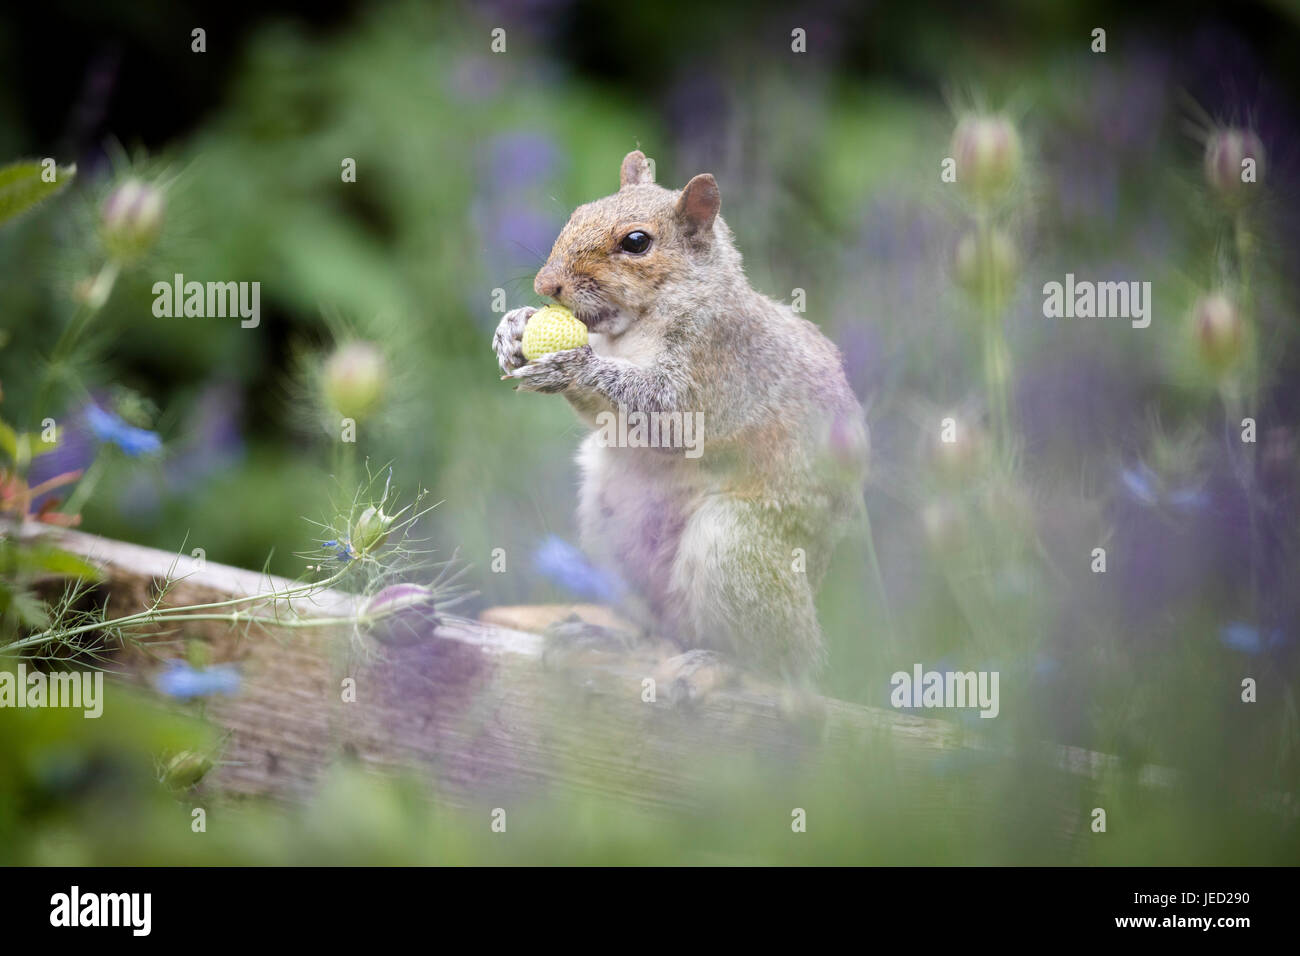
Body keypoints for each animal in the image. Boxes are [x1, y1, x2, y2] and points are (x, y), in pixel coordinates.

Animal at [493, 150, 868, 680]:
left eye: (636, 242)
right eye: (578, 213)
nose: (547, 284)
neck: (635, 328)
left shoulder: (718, 362)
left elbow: (668, 412)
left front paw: (572, 365)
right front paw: (513, 327)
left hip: (735, 547)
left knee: (777, 669)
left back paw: (721, 666)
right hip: (611, 528)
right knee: (662, 632)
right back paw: (615, 638)